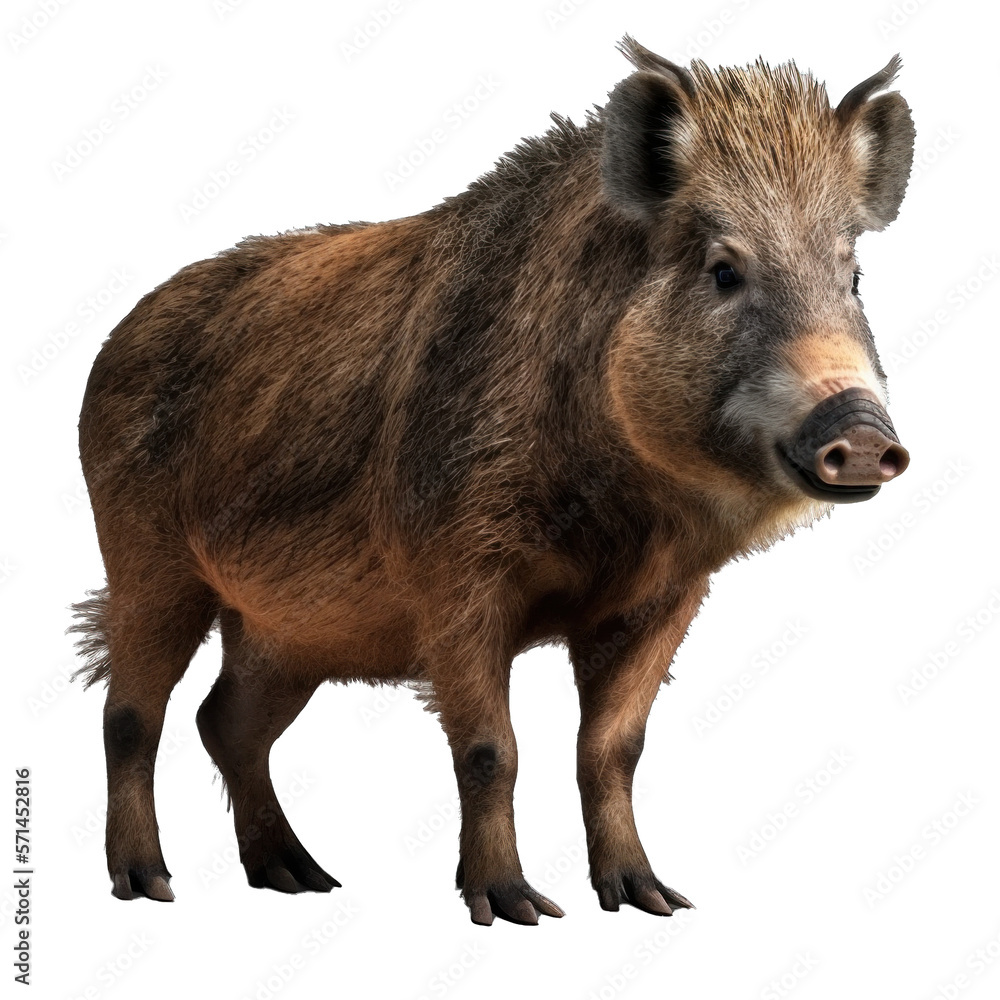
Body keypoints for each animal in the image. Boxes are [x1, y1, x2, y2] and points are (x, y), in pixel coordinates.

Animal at [71, 36, 914, 925]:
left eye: (852, 278)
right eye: (724, 269)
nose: (864, 434)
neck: (621, 513)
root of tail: (115, 338)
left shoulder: (667, 596)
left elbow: (614, 748)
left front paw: (651, 900)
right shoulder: (455, 571)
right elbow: (489, 749)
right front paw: (516, 909)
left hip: (284, 629)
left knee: (226, 722)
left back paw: (304, 878)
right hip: (144, 558)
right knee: (131, 714)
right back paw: (149, 884)